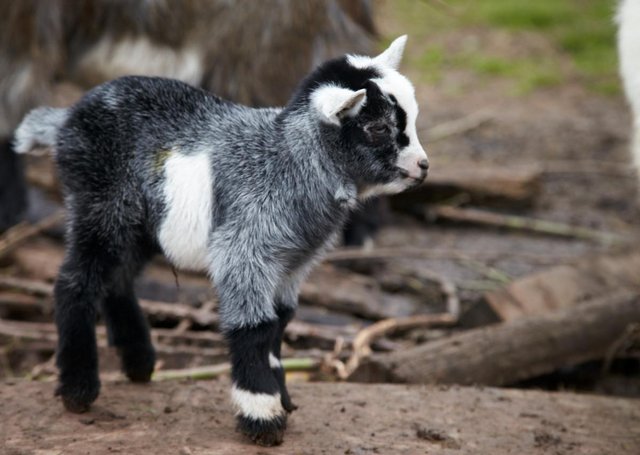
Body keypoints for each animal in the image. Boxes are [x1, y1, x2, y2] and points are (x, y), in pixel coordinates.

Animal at [14, 36, 428, 446]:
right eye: (377, 127)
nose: (423, 167)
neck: (286, 161)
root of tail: (66, 118)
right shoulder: (244, 247)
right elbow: (255, 327)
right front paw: (262, 416)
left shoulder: (291, 263)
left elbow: (280, 322)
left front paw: (281, 398)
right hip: (98, 203)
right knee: (76, 280)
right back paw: (79, 389)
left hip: (140, 222)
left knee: (117, 277)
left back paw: (139, 362)